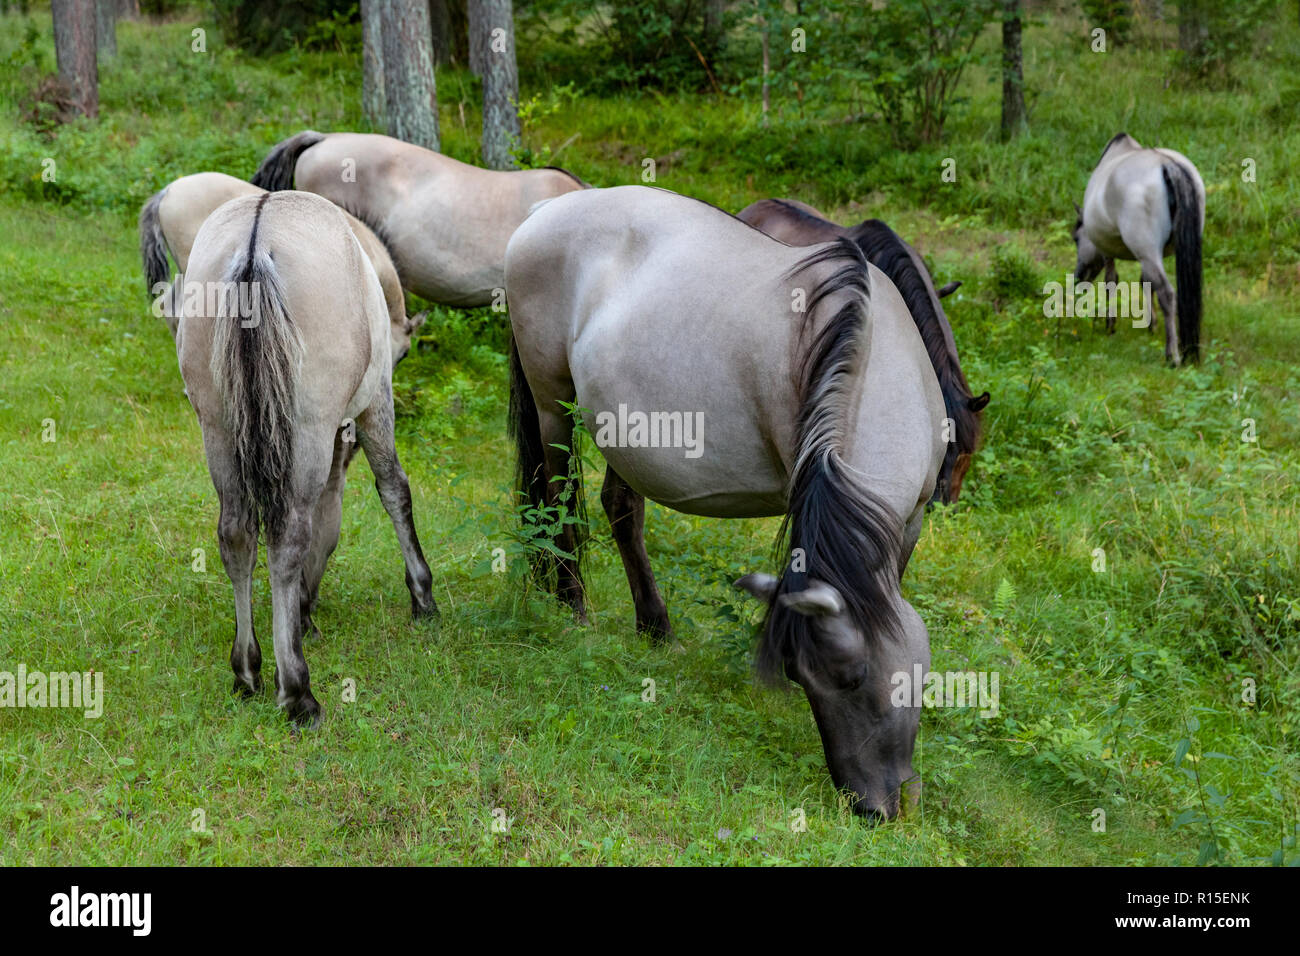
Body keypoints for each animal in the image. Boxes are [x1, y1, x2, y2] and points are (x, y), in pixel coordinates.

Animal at [178, 190, 438, 727]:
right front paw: (422, 595)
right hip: (311, 425)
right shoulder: (375, 404)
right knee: (287, 537)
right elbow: (393, 489)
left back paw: (248, 669)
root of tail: (255, 243)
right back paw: (296, 688)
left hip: (218, 430)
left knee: (236, 534)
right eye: (401, 355)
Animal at [505, 185, 947, 819]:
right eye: (806, 679)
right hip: (551, 407)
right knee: (558, 501)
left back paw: (655, 627)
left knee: (620, 510)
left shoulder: (906, 523)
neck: (870, 363)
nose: (869, 807)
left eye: (854, 677)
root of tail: (546, 212)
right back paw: (572, 606)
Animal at [1072, 132, 1204, 365]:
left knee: (1167, 293)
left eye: (1076, 239)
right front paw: (1151, 325)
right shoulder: (1149, 256)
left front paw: (1110, 325)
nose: (1077, 277)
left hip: (1146, 252)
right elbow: (1146, 282)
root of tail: (1168, 165)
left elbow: (1111, 281)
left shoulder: (1108, 252)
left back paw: (1172, 356)